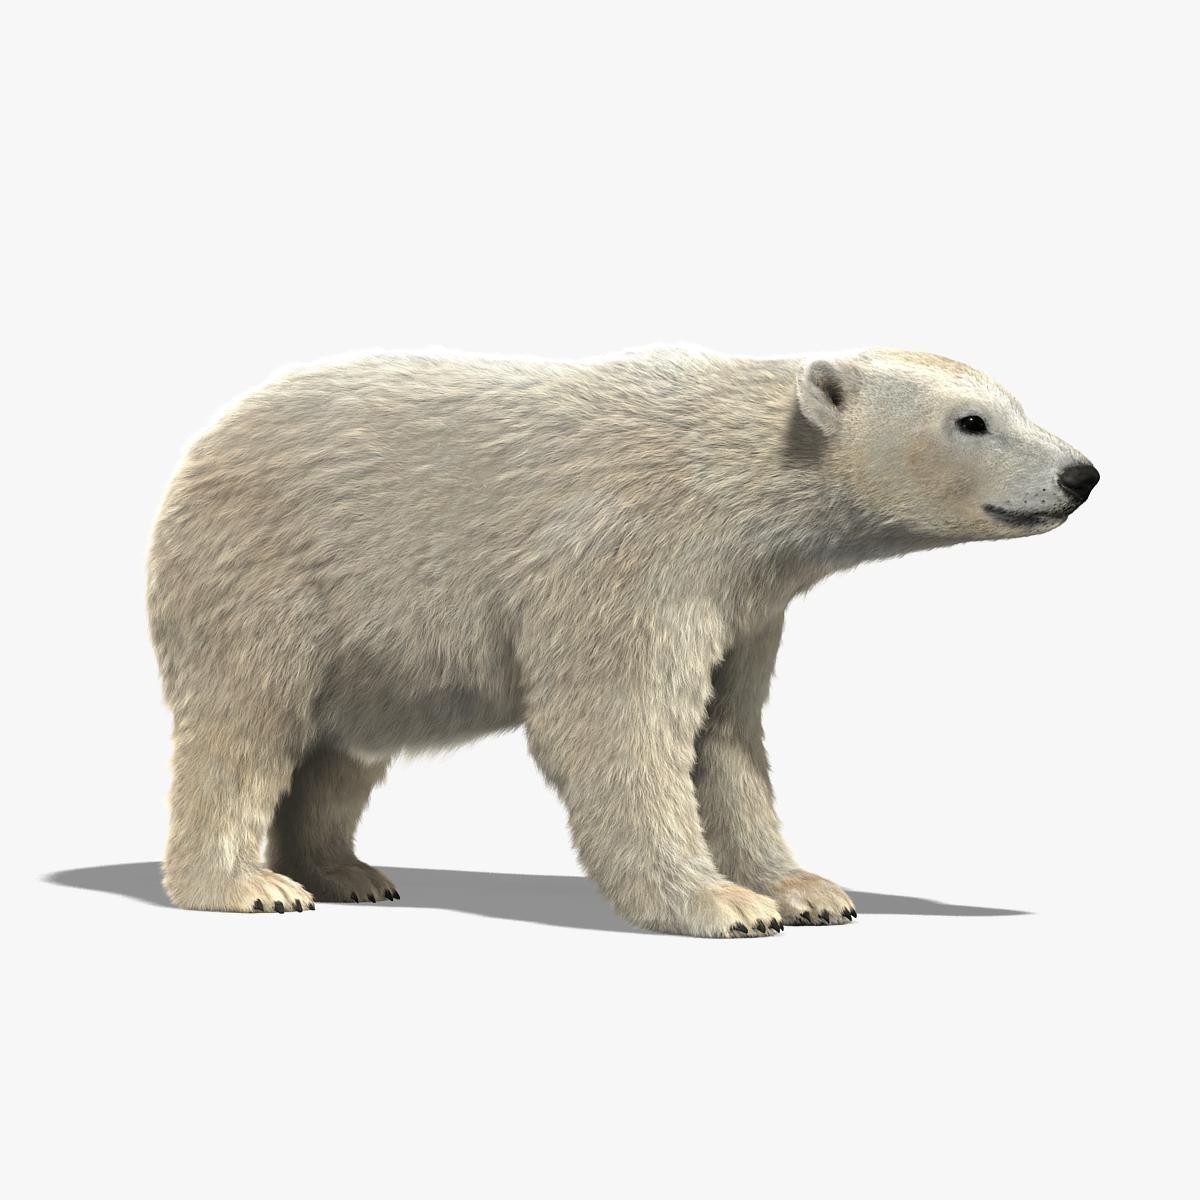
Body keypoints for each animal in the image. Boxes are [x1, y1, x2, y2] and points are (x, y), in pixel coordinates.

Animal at [147, 346, 1099, 935]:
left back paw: (347, 872)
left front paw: (807, 890)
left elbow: (726, 738)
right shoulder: (630, 555)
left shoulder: (744, 603)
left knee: (341, 751)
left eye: (1017, 403)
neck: (731, 478)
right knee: (246, 724)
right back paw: (248, 887)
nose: (1081, 473)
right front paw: (721, 905)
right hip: (269, 577)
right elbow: (618, 726)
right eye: (971, 420)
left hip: (368, 651)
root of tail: (198, 453)